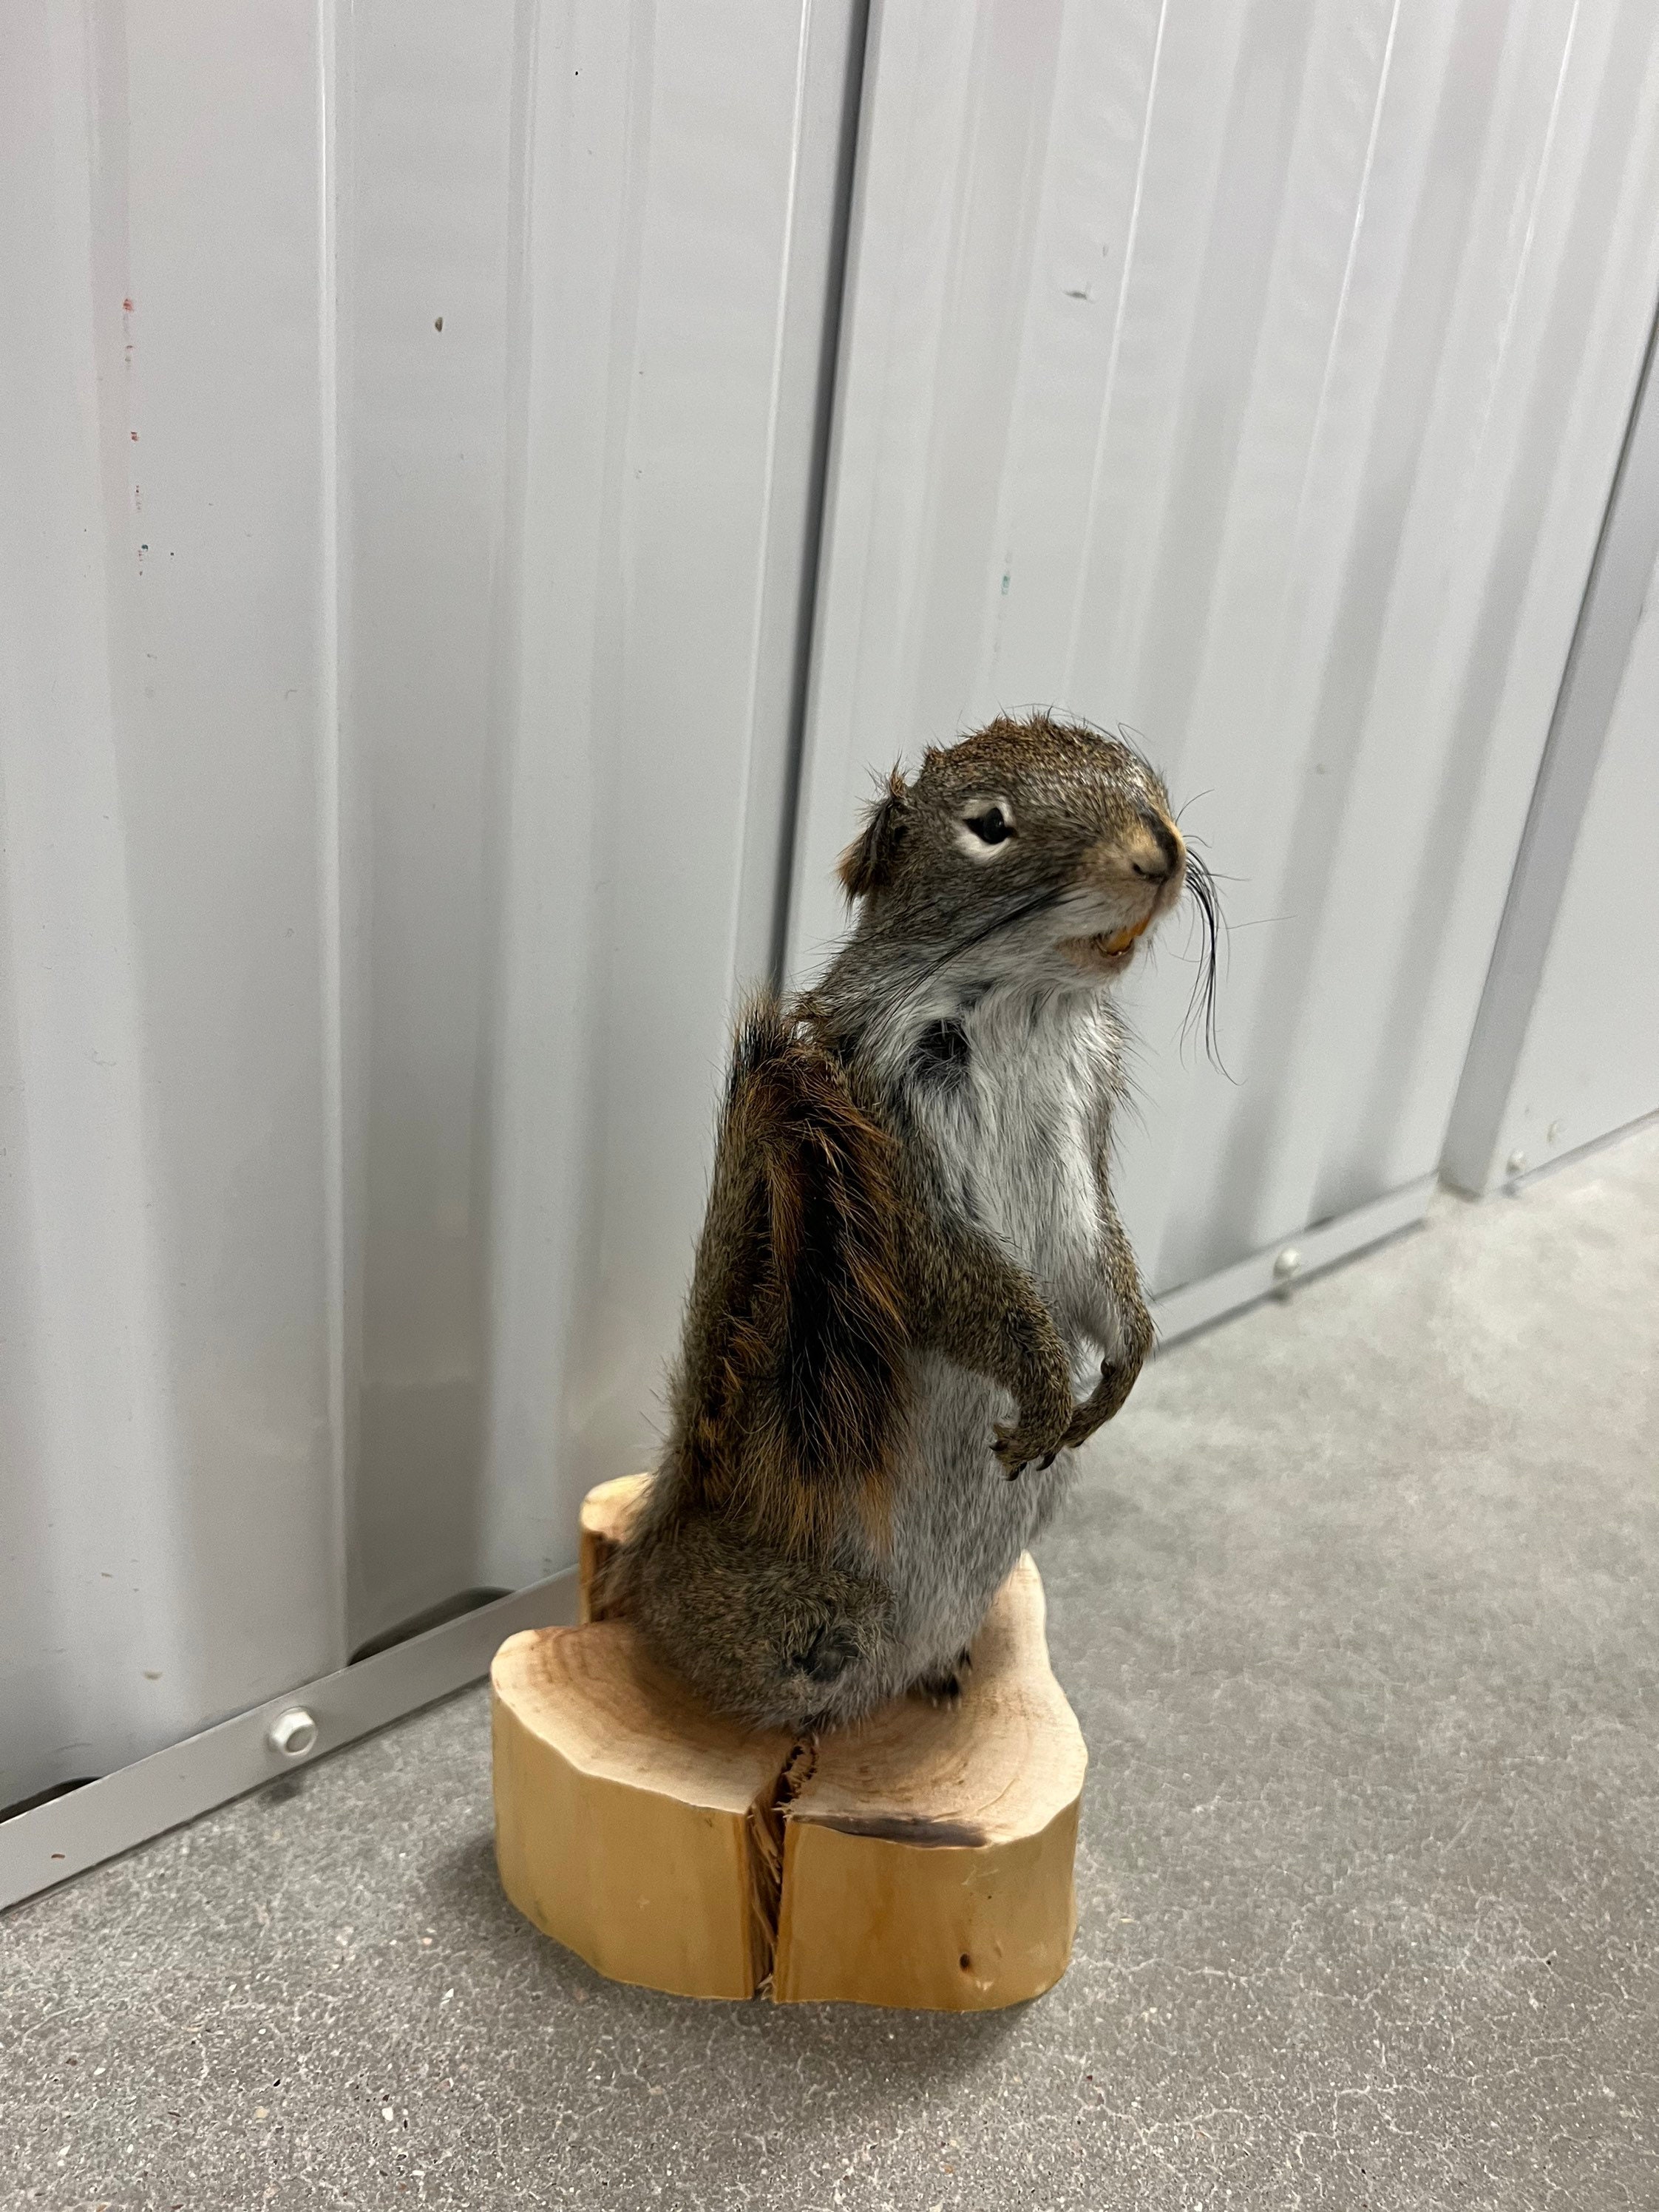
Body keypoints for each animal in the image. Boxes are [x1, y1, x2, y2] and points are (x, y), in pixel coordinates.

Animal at [609, 713, 1214, 1731]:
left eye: (1145, 775)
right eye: (989, 826)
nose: (1159, 852)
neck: (1029, 1008)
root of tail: (658, 1552)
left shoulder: (1081, 1141)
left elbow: (1098, 1258)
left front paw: (1121, 1368)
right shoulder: (887, 1149)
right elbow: (959, 1282)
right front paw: (1046, 1383)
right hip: (804, 1618)